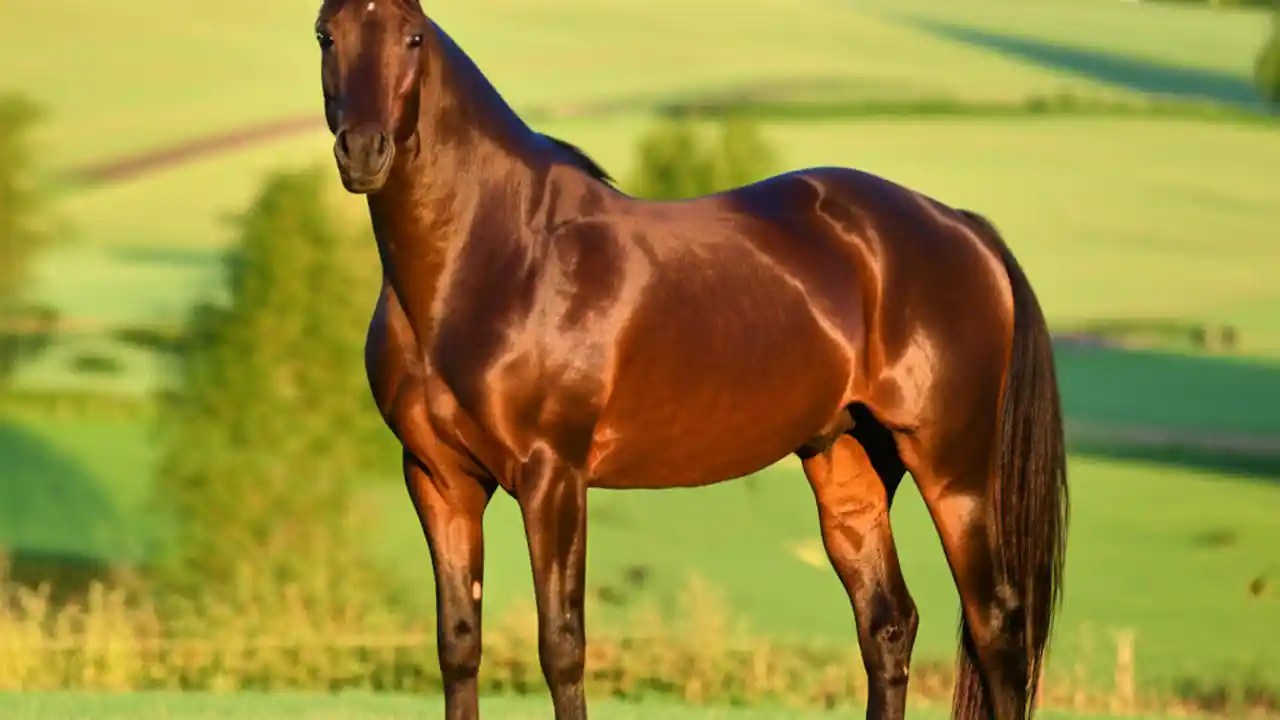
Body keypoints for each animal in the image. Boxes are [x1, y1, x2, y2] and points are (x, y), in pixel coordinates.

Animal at [312, 2, 1069, 719]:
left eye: (412, 37)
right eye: (327, 34)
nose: (364, 151)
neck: (500, 257)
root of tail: (961, 227)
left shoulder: (552, 476)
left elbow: (561, 645)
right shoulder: (438, 479)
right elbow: (458, 645)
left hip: (955, 472)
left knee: (997, 629)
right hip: (848, 462)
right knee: (887, 626)